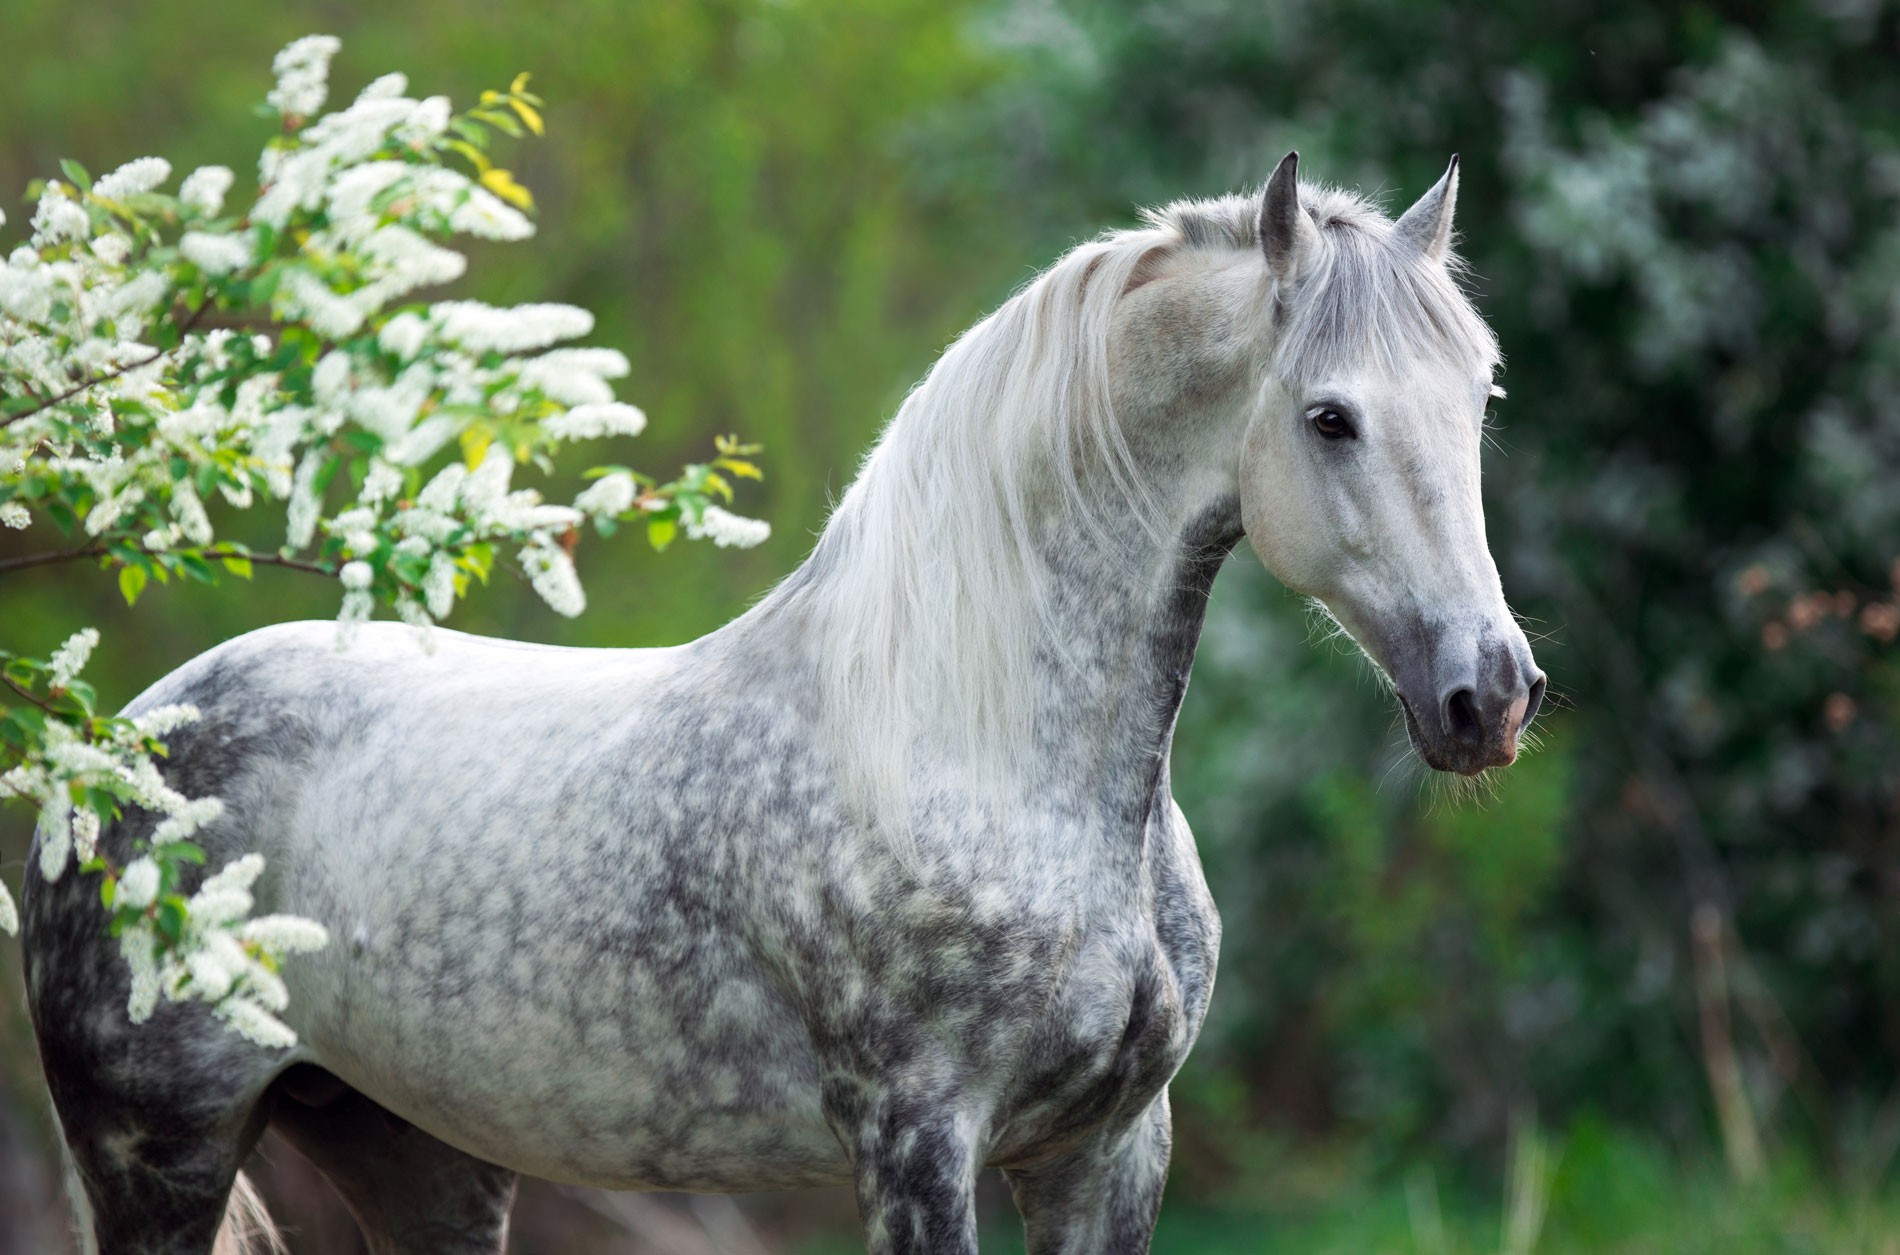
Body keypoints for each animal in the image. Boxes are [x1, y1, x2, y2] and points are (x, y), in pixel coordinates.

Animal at [22, 152, 1544, 1254]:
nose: (1491, 693)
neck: (984, 753)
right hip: (156, 1158)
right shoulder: (918, 1144)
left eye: (1480, 391)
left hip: (423, 1160)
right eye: (1330, 417)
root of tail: (110, 756)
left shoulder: (1108, 1154)